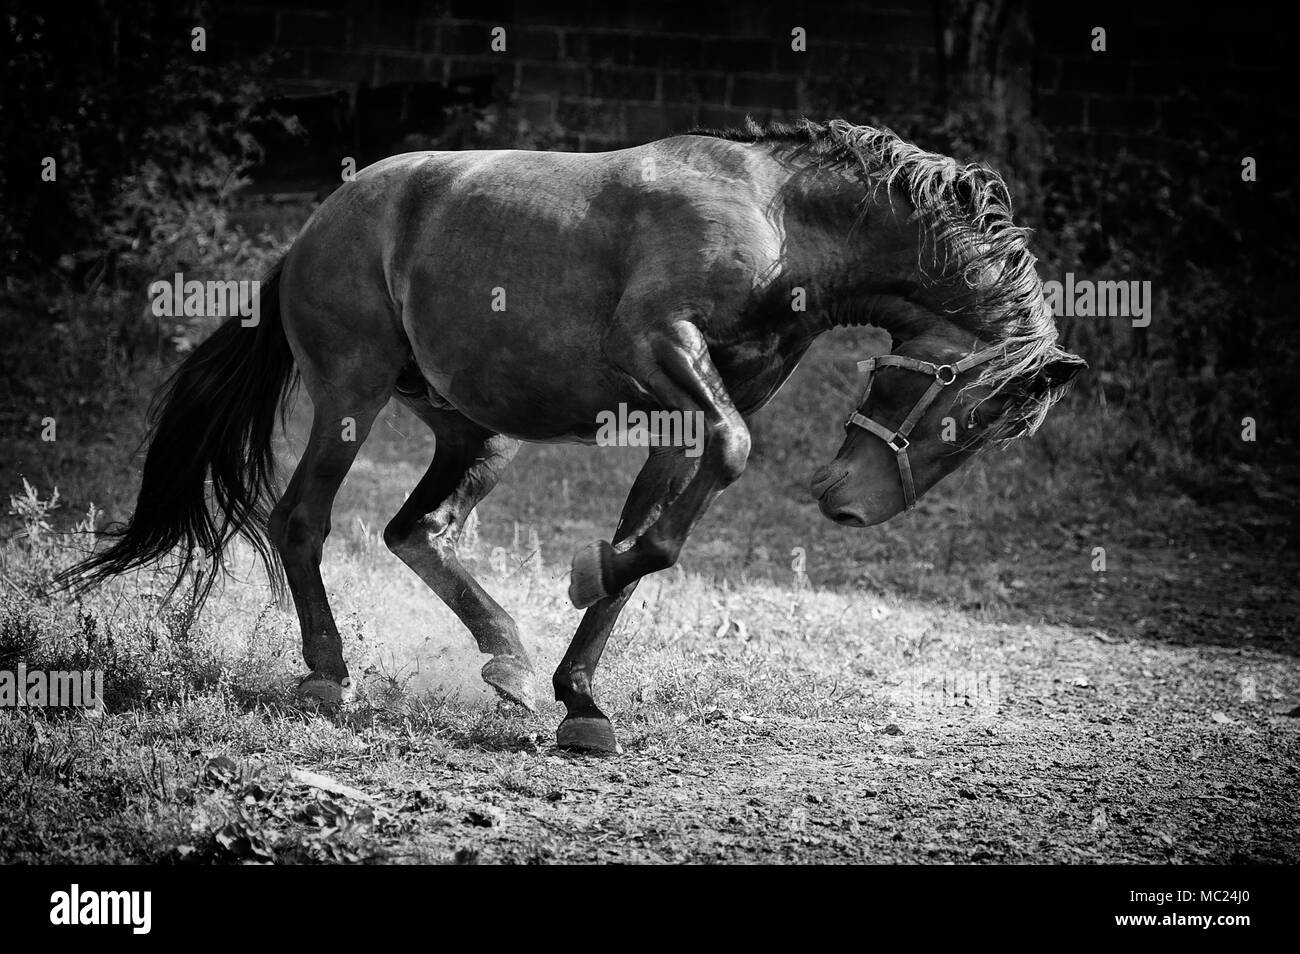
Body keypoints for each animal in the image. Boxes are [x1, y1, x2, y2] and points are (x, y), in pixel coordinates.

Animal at [58, 118, 1085, 753]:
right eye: (950, 407)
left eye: (979, 439)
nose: (850, 508)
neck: (782, 219)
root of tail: (308, 234)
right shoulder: (661, 349)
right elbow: (718, 472)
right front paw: (585, 585)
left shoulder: (683, 412)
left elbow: (653, 543)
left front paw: (581, 698)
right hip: (351, 394)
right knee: (302, 520)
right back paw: (328, 675)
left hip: (476, 432)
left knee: (415, 531)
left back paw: (507, 661)